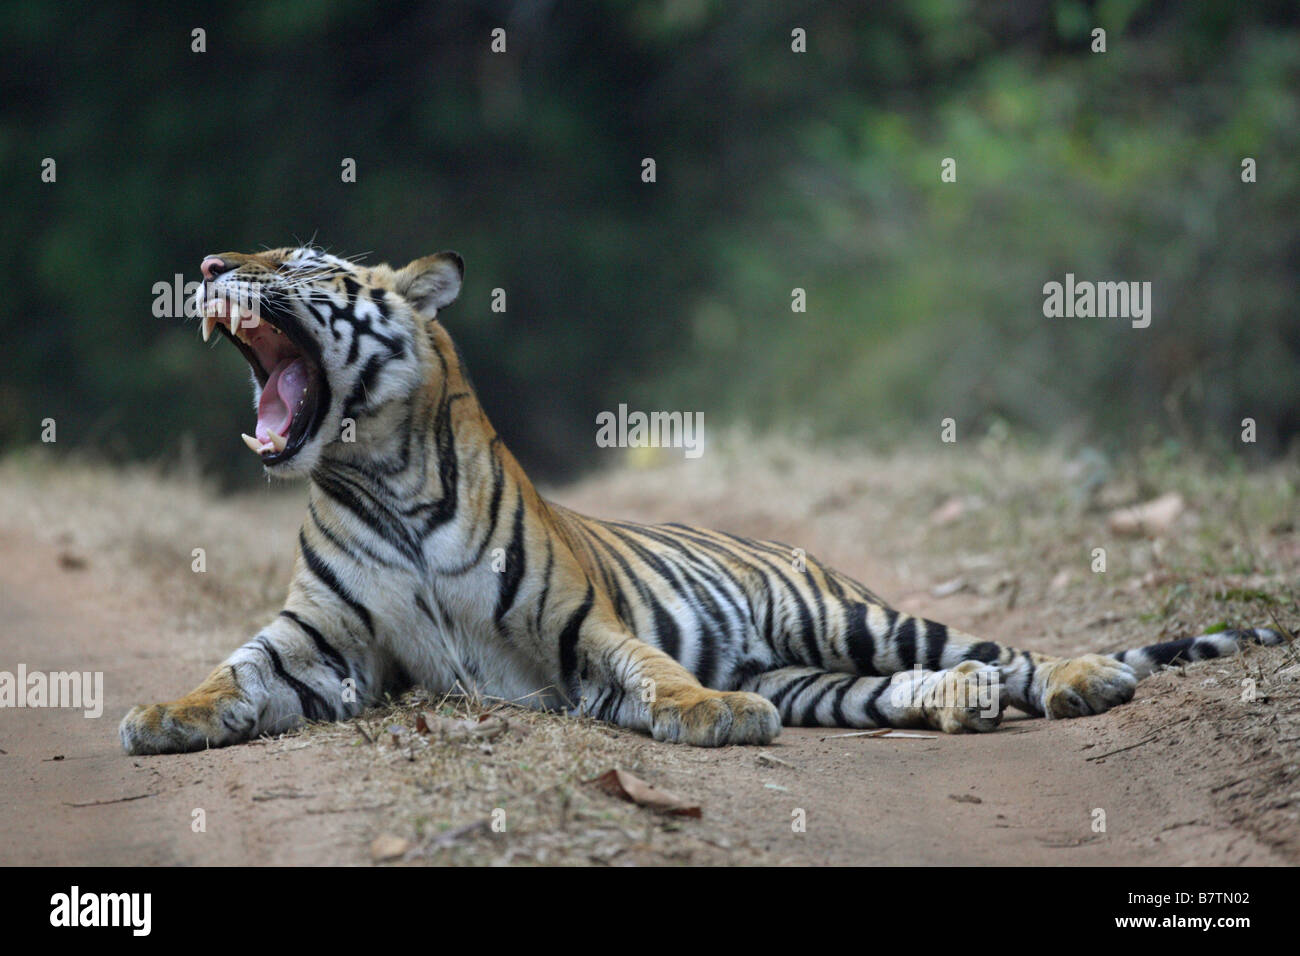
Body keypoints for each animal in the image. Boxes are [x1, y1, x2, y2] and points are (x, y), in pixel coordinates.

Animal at [119, 246, 1284, 754]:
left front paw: (707, 711)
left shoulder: (580, 620)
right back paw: (955, 704)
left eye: (301, 259)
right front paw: (161, 714)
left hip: (854, 614)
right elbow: (233, 672)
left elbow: (650, 666)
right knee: (900, 687)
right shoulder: (320, 643)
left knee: (1000, 648)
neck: (381, 476)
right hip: (816, 676)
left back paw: (1076, 679)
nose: (211, 263)